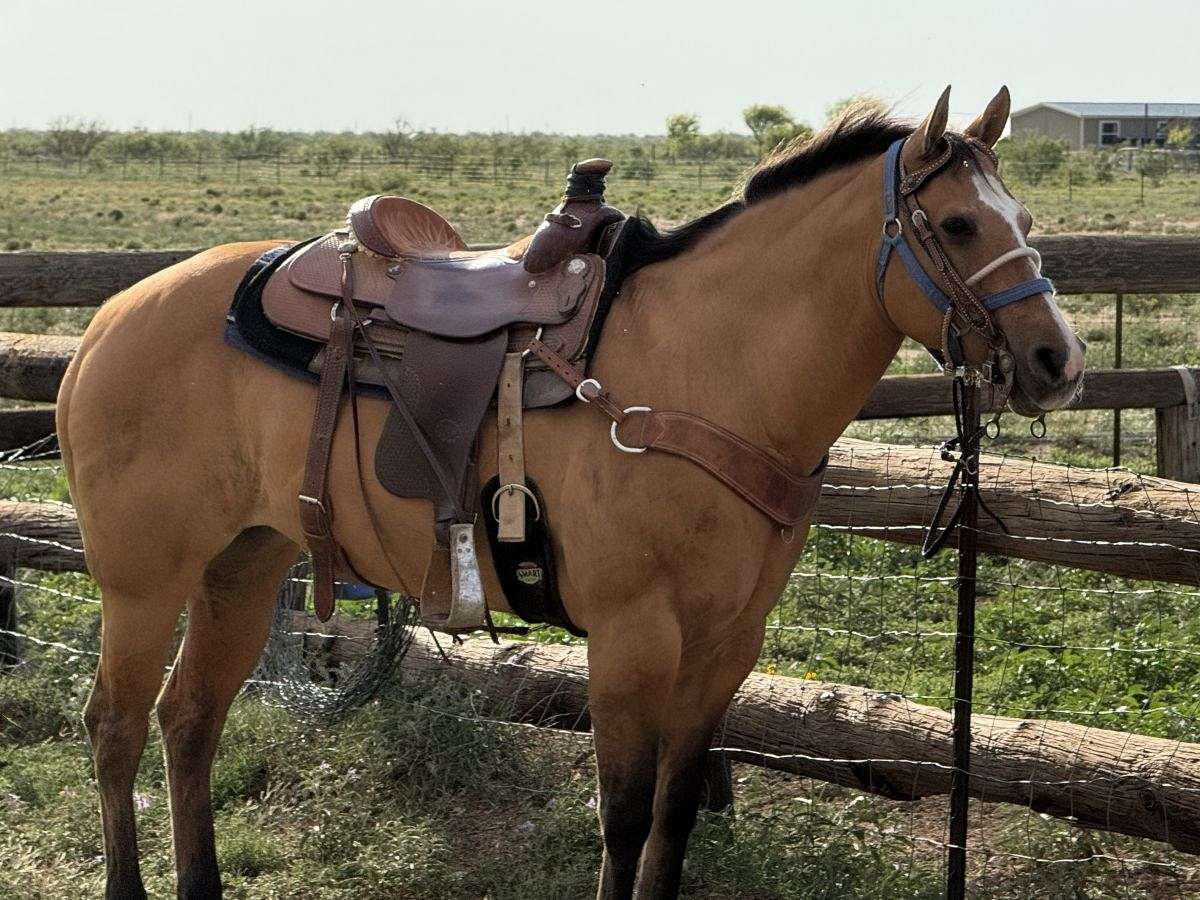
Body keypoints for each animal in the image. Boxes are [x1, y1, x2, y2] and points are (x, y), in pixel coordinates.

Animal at [58, 85, 1084, 899]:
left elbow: (674, 814)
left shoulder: (727, 644)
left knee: (189, 721)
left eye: (1027, 222)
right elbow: (622, 818)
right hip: (143, 582)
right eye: (960, 225)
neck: (709, 368)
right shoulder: (633, 637)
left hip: (243, 565)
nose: (1058, 361)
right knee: (115, 727)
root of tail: (107, 321)